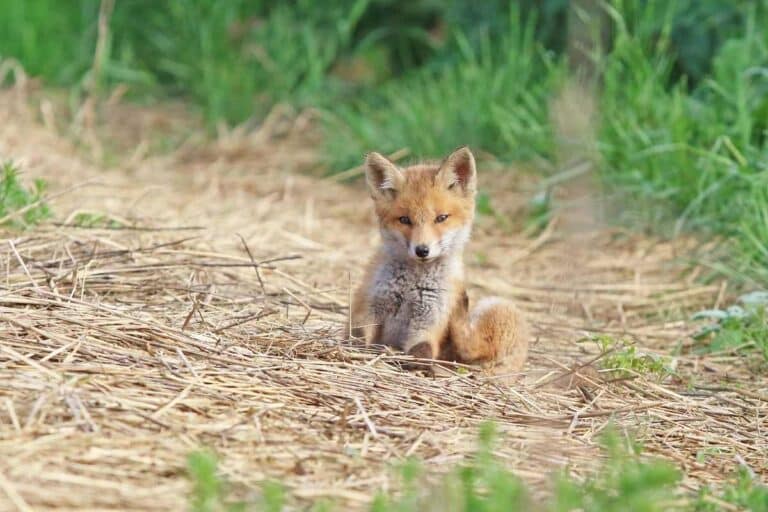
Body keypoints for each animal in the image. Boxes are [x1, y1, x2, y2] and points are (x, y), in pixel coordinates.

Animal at [348, 146, 530, 373]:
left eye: (441, 218)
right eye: (404, 220)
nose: (422, 250)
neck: (411, 286)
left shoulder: (428, 322)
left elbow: (421, 352)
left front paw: (408, 360)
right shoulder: (368, 309)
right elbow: (357, 339)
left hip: (499, 307)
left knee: (471, 347)